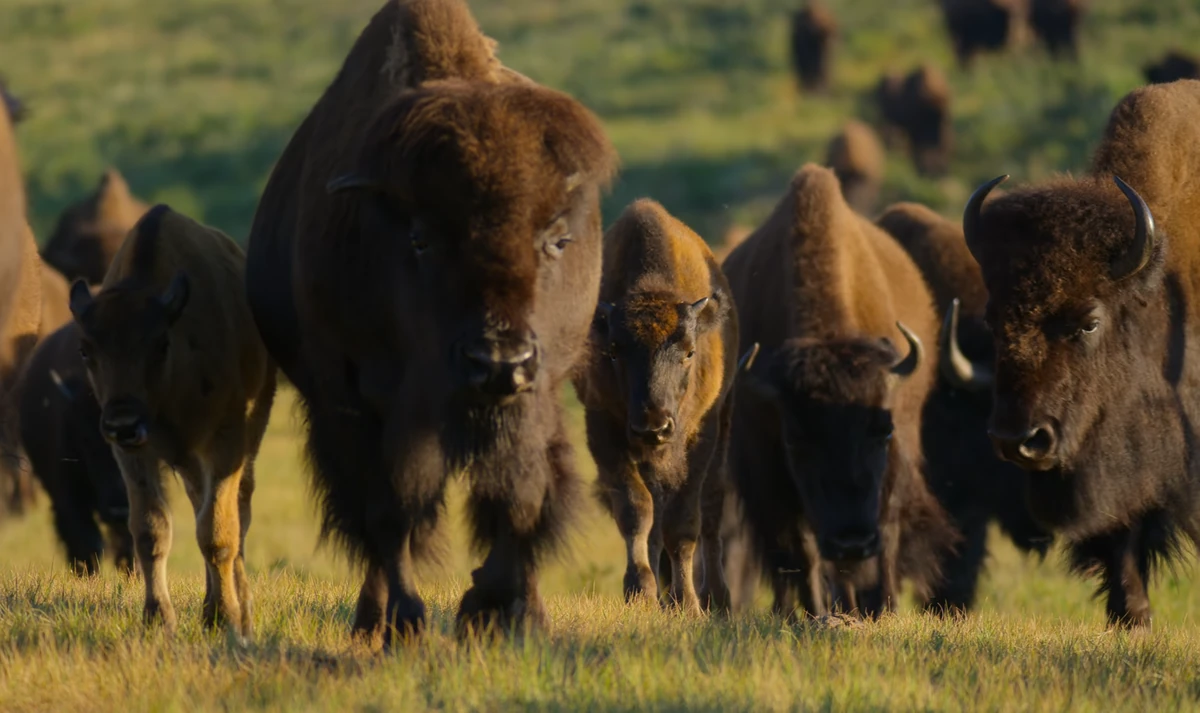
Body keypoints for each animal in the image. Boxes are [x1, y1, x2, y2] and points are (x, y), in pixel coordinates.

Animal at [69, 205, 275, 638]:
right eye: (85, 349)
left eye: (160, 344)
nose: (123, 422)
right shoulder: (133, 454)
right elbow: (151, 530)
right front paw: (157, 619)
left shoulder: (225, 441)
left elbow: (217, 532)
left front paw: (226, 619)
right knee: (201, 505)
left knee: (239, 510)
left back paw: (241, 611)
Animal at [246, 0, 616, 644]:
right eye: (419, 238)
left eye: (558, 239)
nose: (498, 362)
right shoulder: (358, 403)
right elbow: (391, 512)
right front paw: (407, 619)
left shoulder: (535, 399)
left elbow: (521, 497)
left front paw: (491, 608)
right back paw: (373, 620)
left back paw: (528, 613)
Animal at [575, 199, 742, 614]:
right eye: (613, 350)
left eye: (690, 352)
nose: (654, 425)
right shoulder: (602, 427)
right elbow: (637, 511)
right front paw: (640, 591)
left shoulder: (699, 434)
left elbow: (683, 522)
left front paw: (688, 603)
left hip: (721, 426)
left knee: (711, 508)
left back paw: (717, 597)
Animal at [723, 165, 955, 617]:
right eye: (795, 439)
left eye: (882, 431)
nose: (851, 542)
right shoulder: (767, 464)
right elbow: (802, 548)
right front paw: (815, 613)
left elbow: (888, 529)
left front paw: (886, 608)